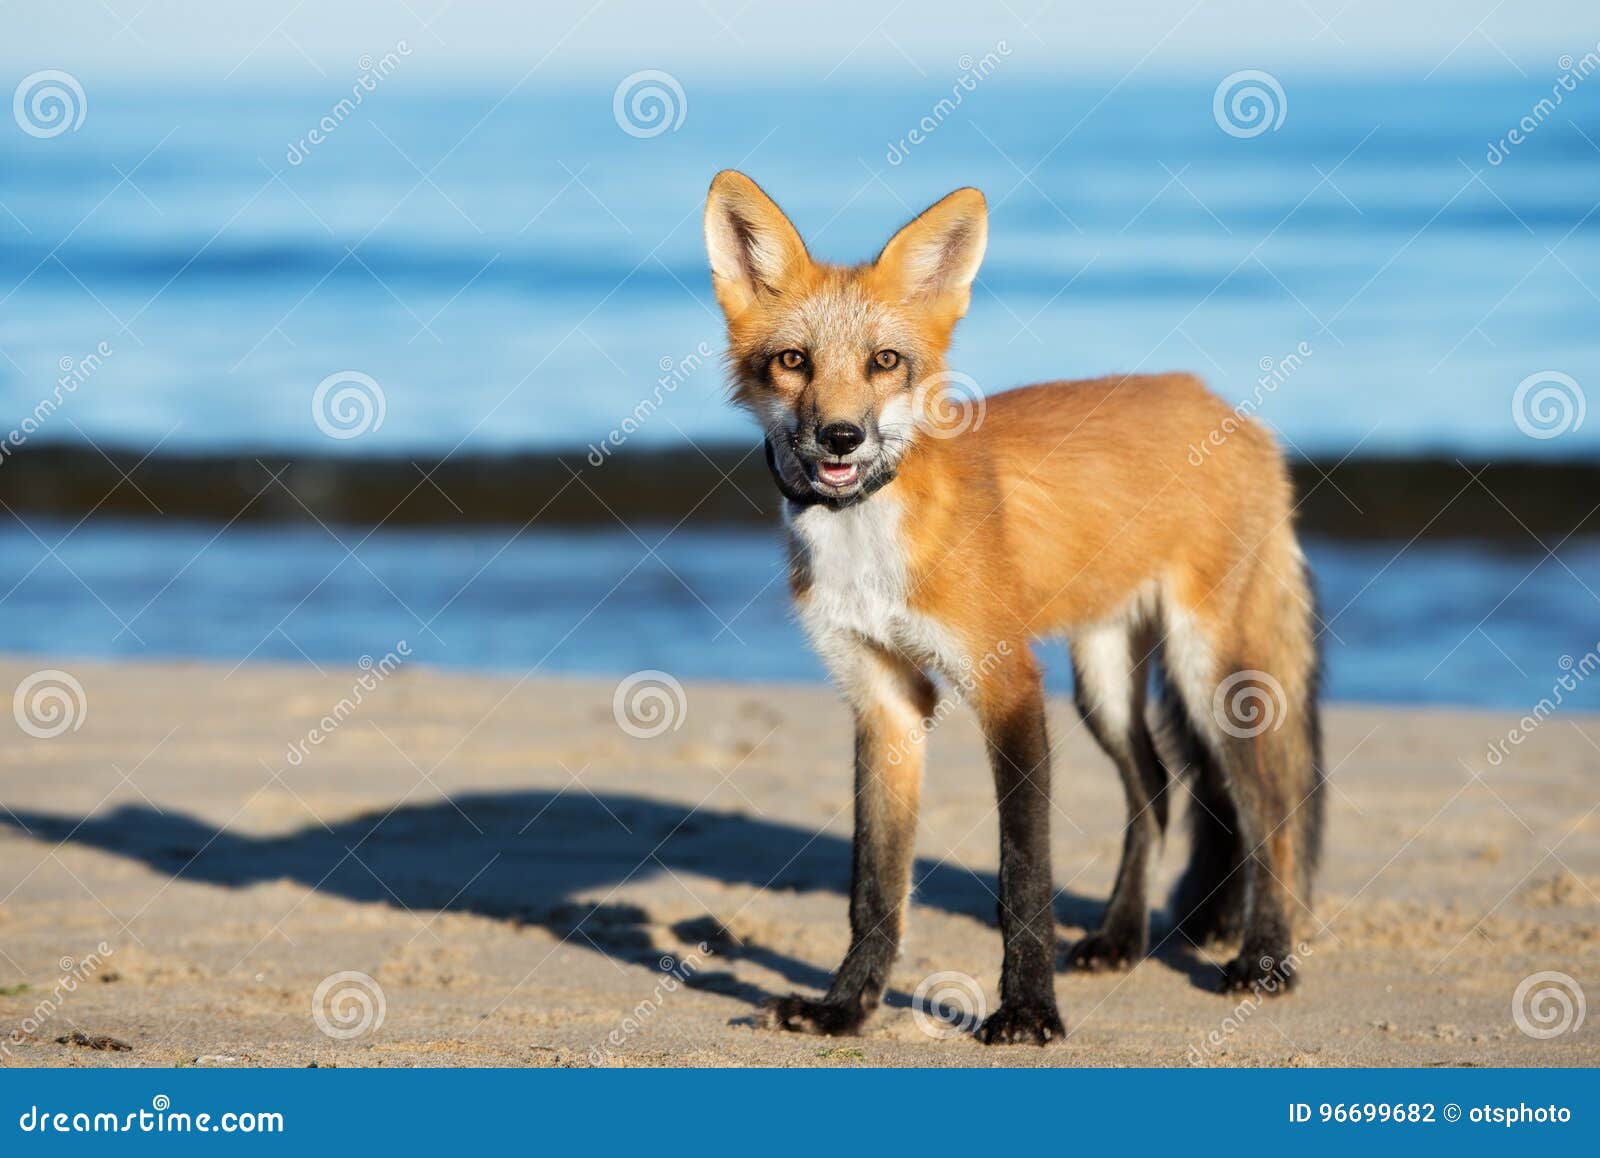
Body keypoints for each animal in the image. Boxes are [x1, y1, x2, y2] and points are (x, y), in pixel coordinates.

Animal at [702, 170, 1324, 1045]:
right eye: (793, 361)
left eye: (885, 361)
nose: (841, 437)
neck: (869, 543)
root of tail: (1224, 408)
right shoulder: (885, 699)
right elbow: (874, 886)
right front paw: (845, 1008)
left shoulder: (1009, 687)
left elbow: (1022, 876)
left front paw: (1028, 1010)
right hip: (1103, 680)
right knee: (1159, 788)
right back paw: (1122, 937)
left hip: (1211, 669)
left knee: (1268, 801)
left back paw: (1264, 954)